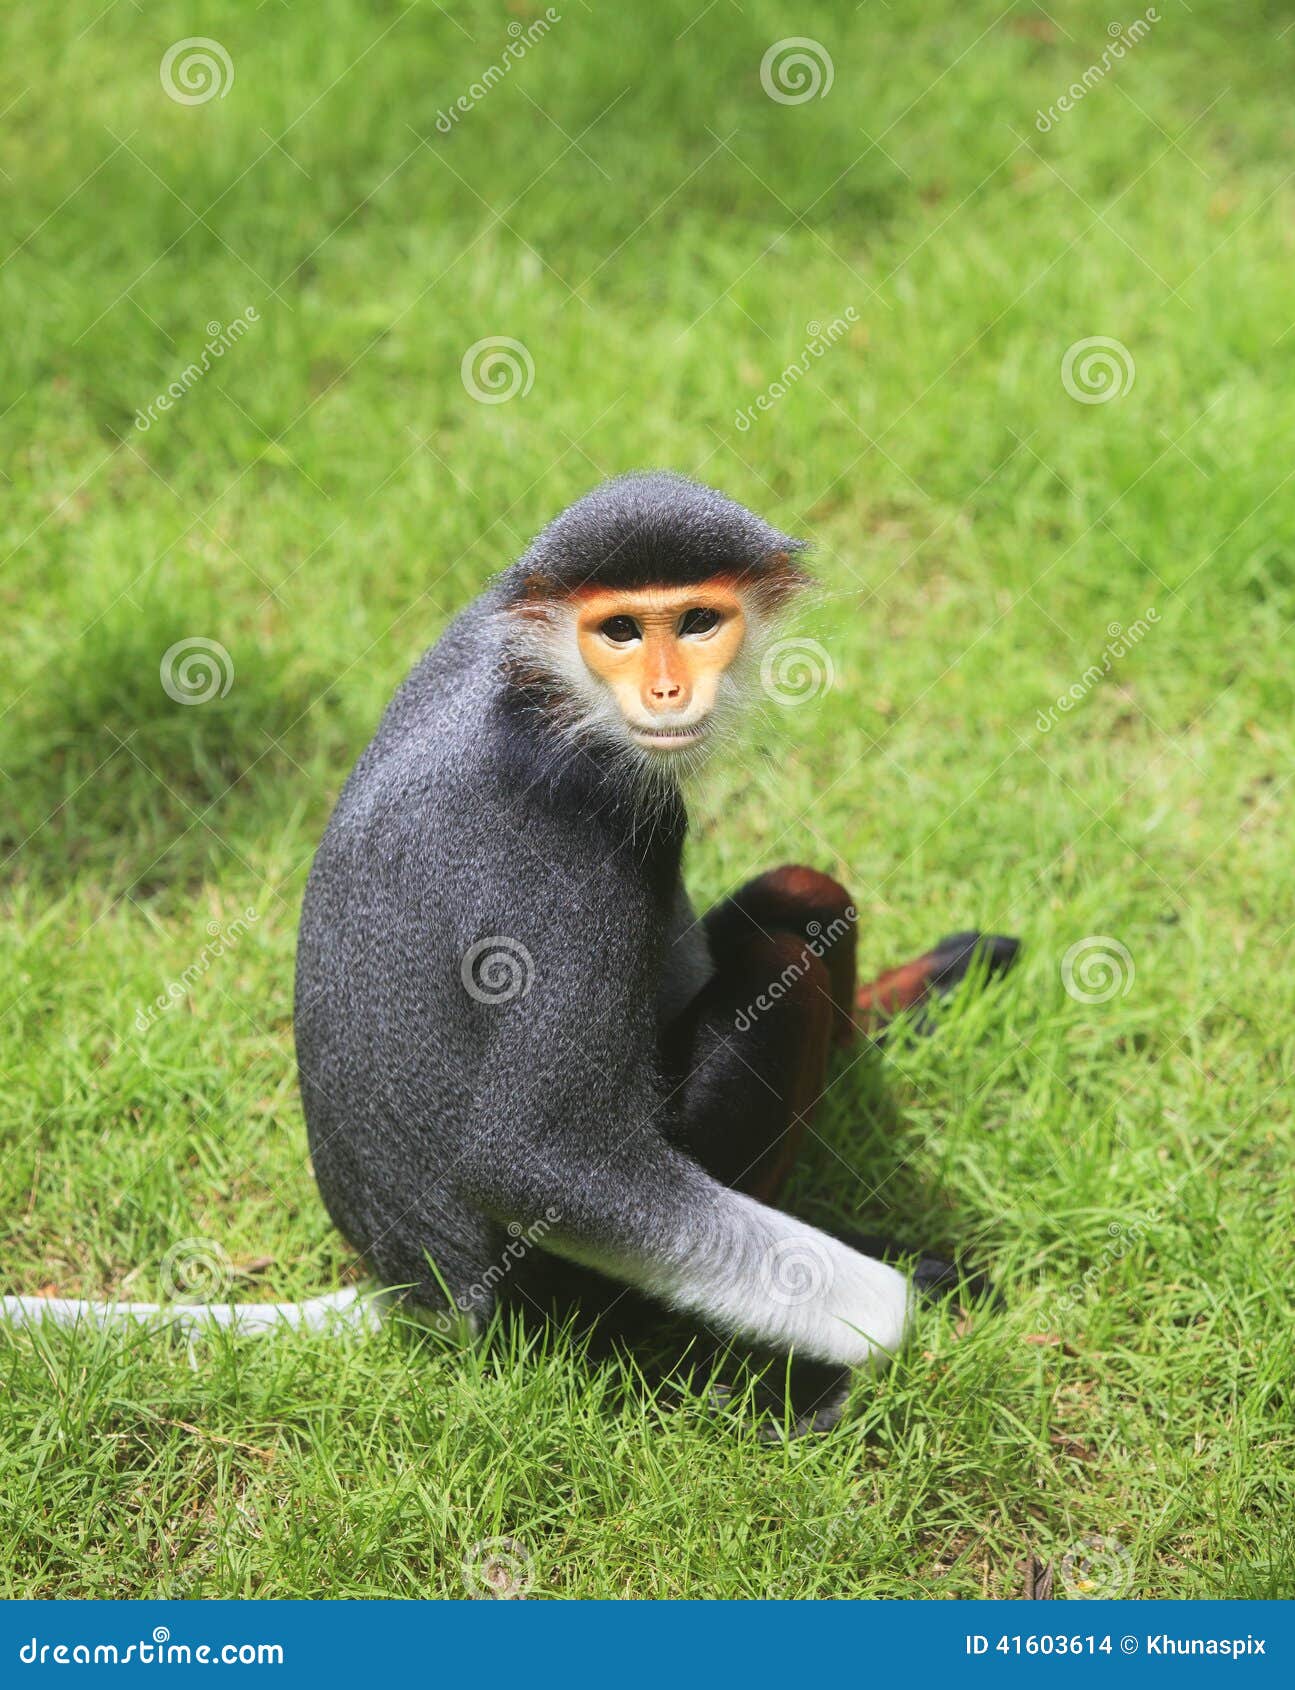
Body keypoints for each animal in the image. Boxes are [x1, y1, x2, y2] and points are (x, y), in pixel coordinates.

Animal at [292, 471, 1018, 1410]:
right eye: (621, 632)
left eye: (698, 622)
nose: (666, 692)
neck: (541, 686)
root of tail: (420, 1298)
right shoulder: (571, 821)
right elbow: (534, 1159)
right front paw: (897, 1324)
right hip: (563, 1304)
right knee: (780, 964)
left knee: (799, 896)